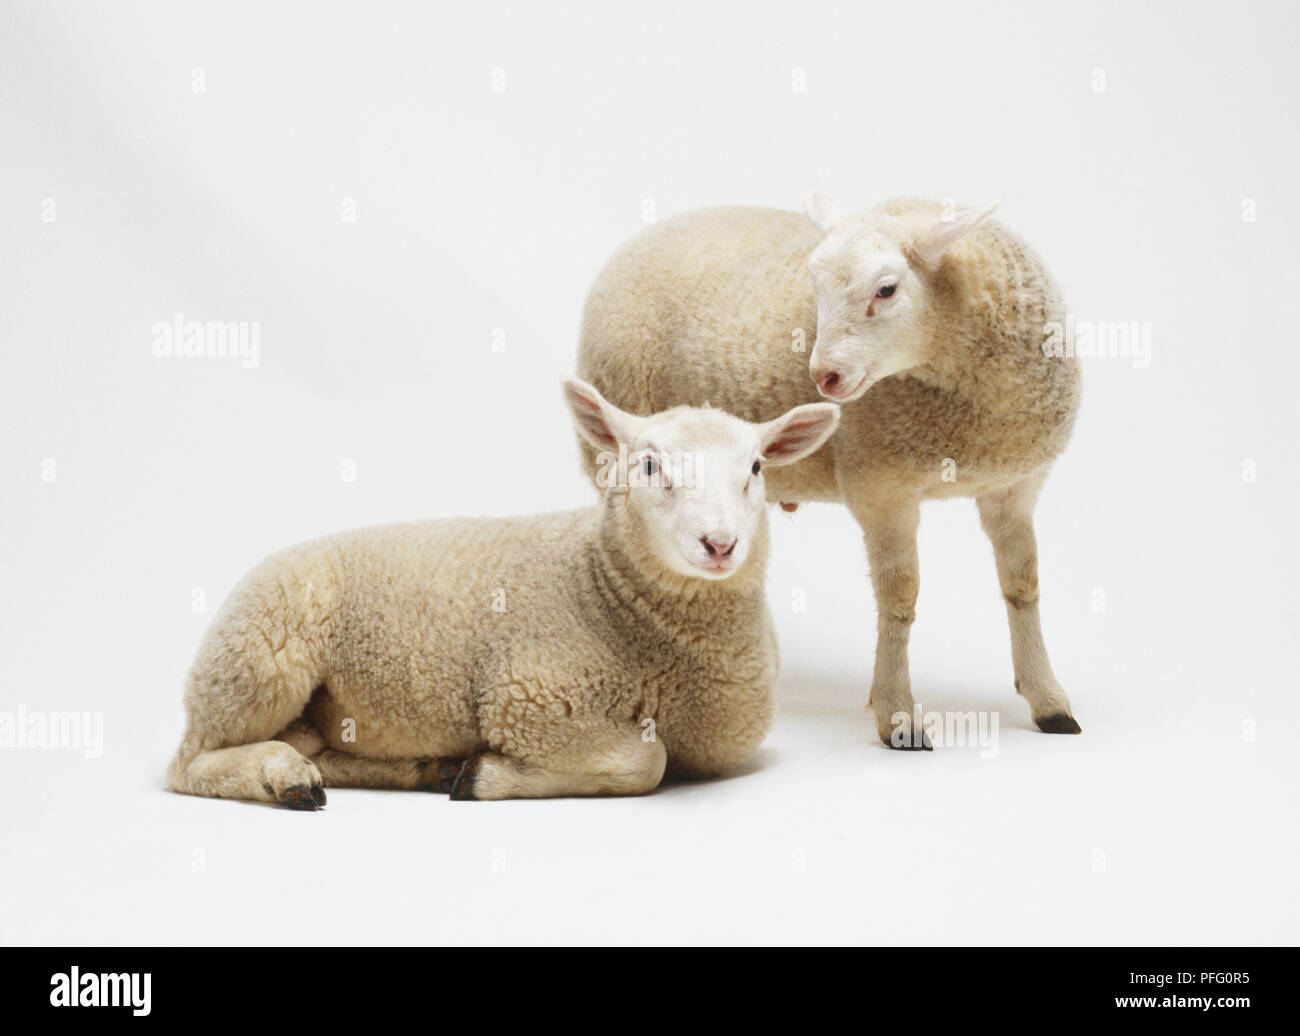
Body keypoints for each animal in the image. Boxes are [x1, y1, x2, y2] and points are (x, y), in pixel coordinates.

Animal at [166, 379, 840, 805]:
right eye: (649, 466)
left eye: (755, 468)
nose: (720, 544)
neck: (605, 593)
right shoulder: (528, 699)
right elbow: (647, 762)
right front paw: (486, 775)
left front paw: (464, 771)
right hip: (259, 656)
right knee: (191, 762)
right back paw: (284, 778)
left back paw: (413, 769)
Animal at [576, 194, 1082, 749]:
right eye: (814, 286)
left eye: (887, 288)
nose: (824, 377)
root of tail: (652, 232)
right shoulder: (881, 487)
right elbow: (899, 597)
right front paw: (898, 715)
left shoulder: (1015, 485)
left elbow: (1023, 585)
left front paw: (1048, 698)